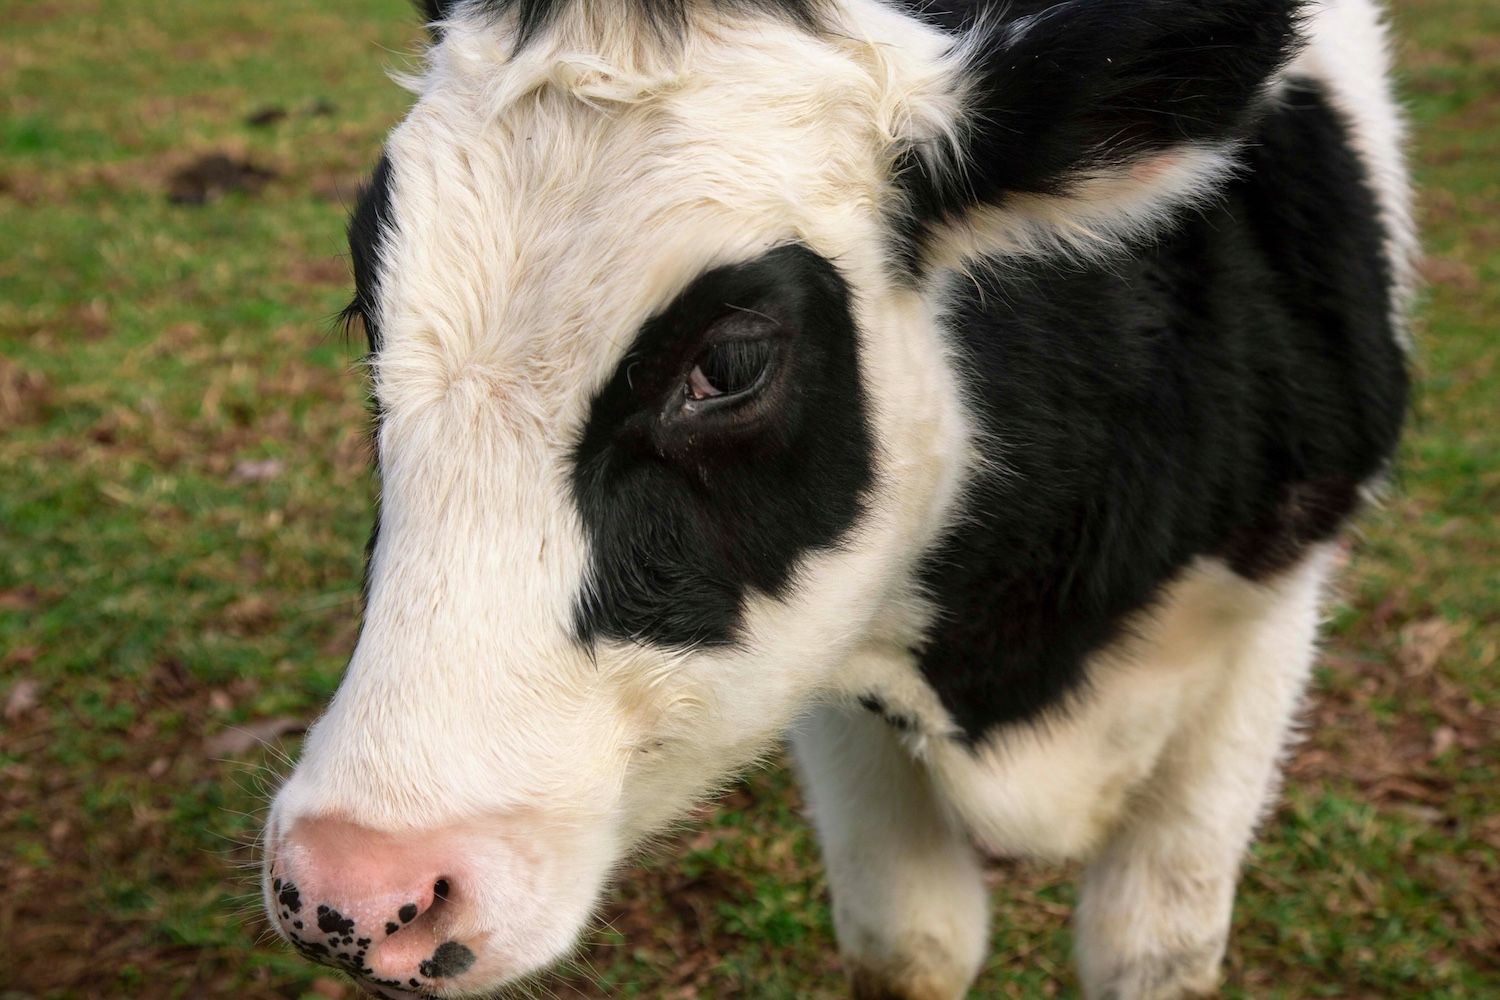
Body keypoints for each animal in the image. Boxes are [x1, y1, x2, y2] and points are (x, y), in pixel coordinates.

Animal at [259, 0, 1412, 996]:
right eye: (368, 311)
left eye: (730, 363)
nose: (355, 890)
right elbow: (911, 941)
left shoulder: (1268, 610)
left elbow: (1155, 943)